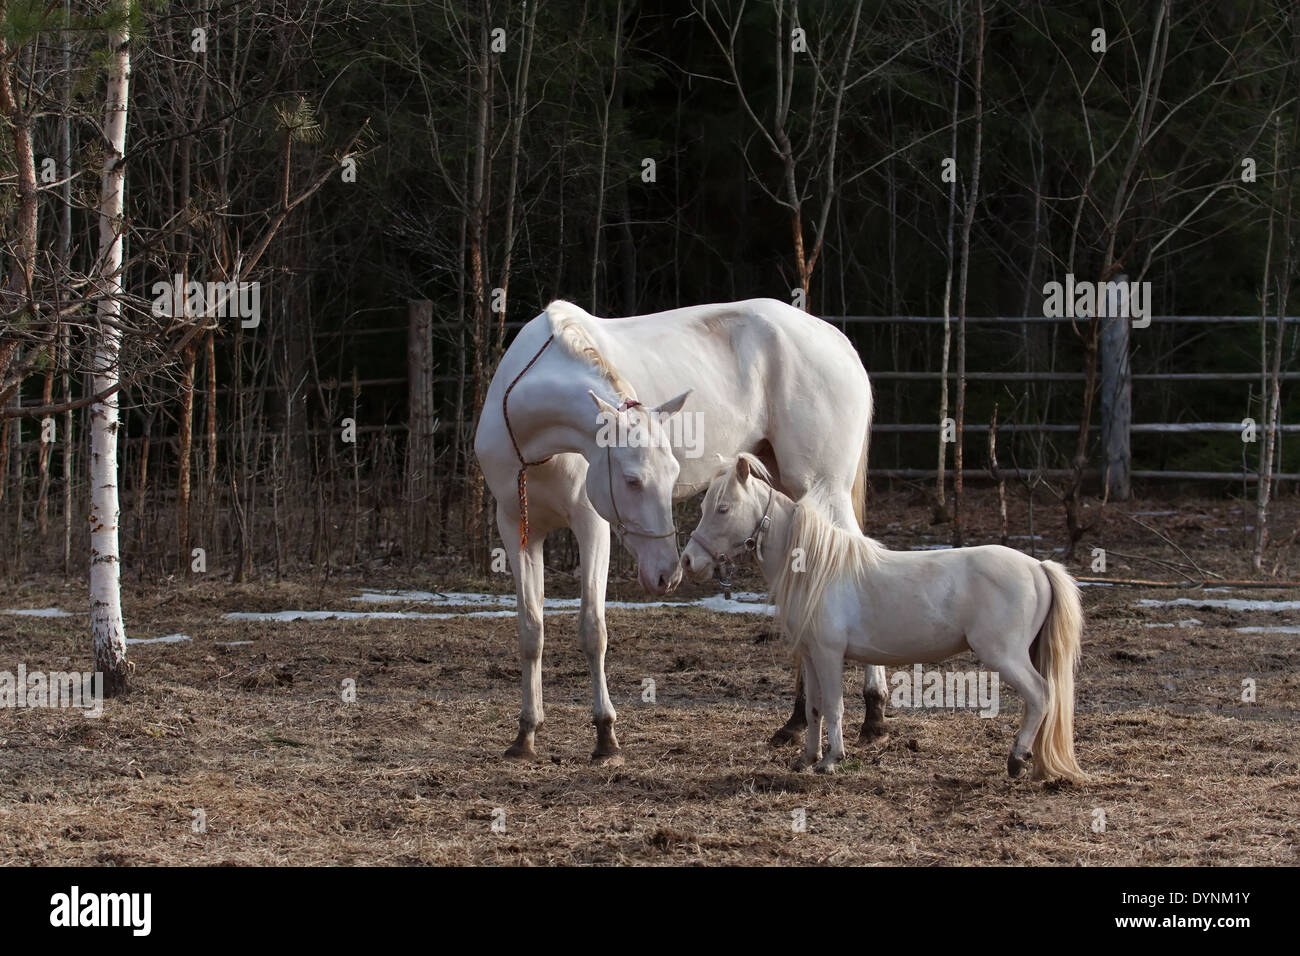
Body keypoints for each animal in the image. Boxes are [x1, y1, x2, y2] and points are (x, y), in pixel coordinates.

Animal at [474, 298, 883, 763]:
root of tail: (839, 343)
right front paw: (526, 733)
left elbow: (593, 631)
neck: (536, 445)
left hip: (823, 491)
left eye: (671, 474)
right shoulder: (517, 529)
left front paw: (605, 736)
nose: (668, 574)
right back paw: (796, 722)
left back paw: (874, 714)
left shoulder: (591, 524)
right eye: (632, 480)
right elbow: (531, 631)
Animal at [681, 454, 1089, 783]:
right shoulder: (811, 655)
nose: (688, 561)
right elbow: (813, 706)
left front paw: (831, 760)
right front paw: (807, 758)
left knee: (1040, 695)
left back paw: (1016, 760)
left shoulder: (830, 654)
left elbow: (834, 706)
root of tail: (1039, 566)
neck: (815, 569)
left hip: (1005, 655)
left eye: (723, 508)